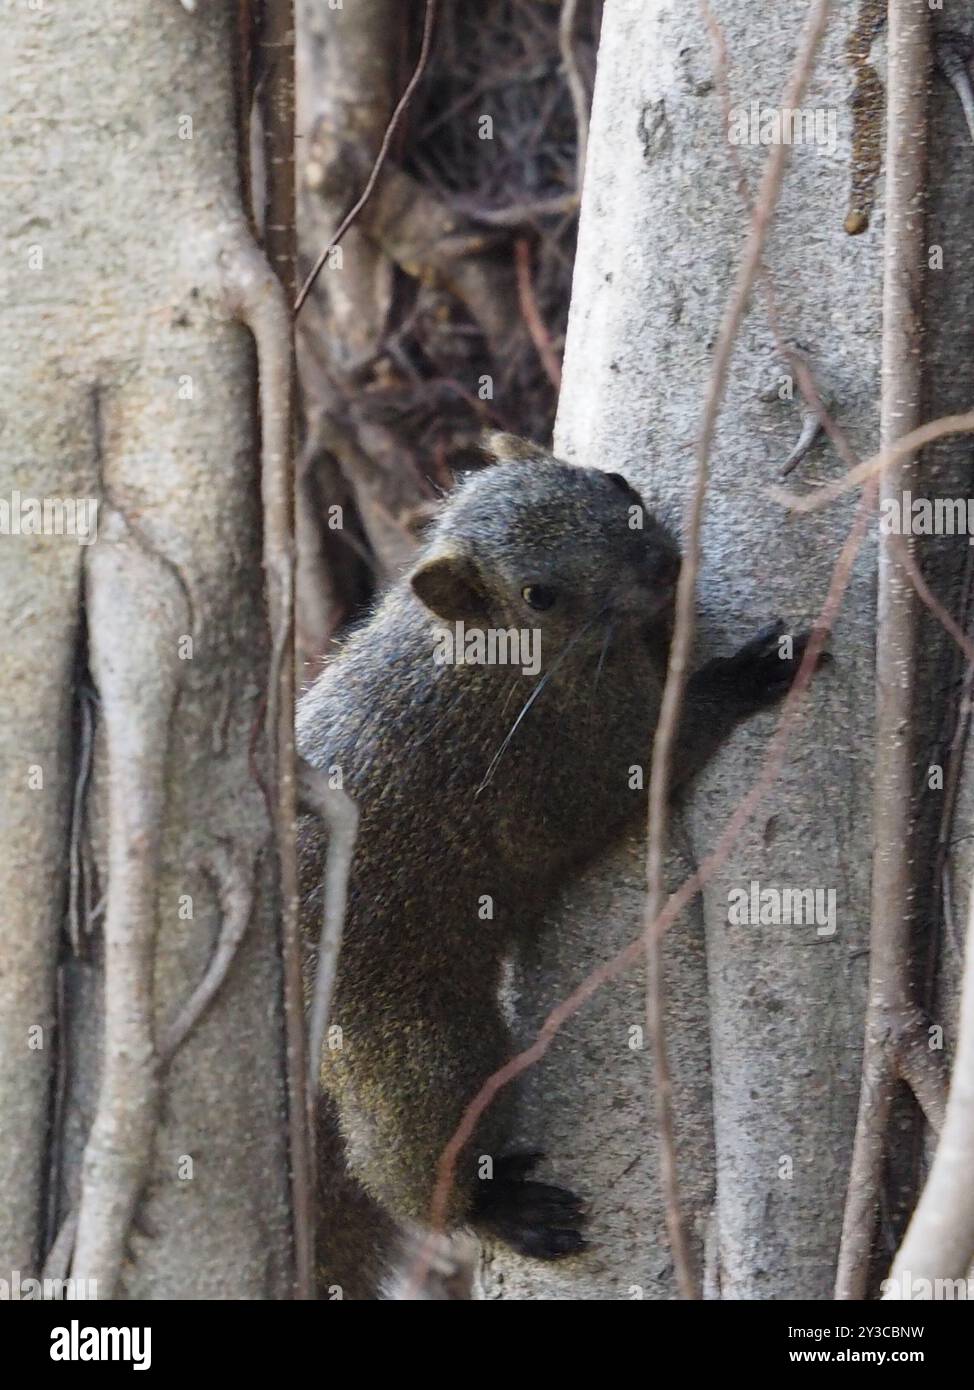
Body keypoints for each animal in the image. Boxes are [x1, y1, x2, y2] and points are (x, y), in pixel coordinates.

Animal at [297, 432, 819, 1276]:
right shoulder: (563, 756)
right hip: (421, 1044)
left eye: (614, 481)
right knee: (411, 1160)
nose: (659, 564)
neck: (492, 652)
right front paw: (749, 671)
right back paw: (496, 1211)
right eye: (539, 594)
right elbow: (642, 766)